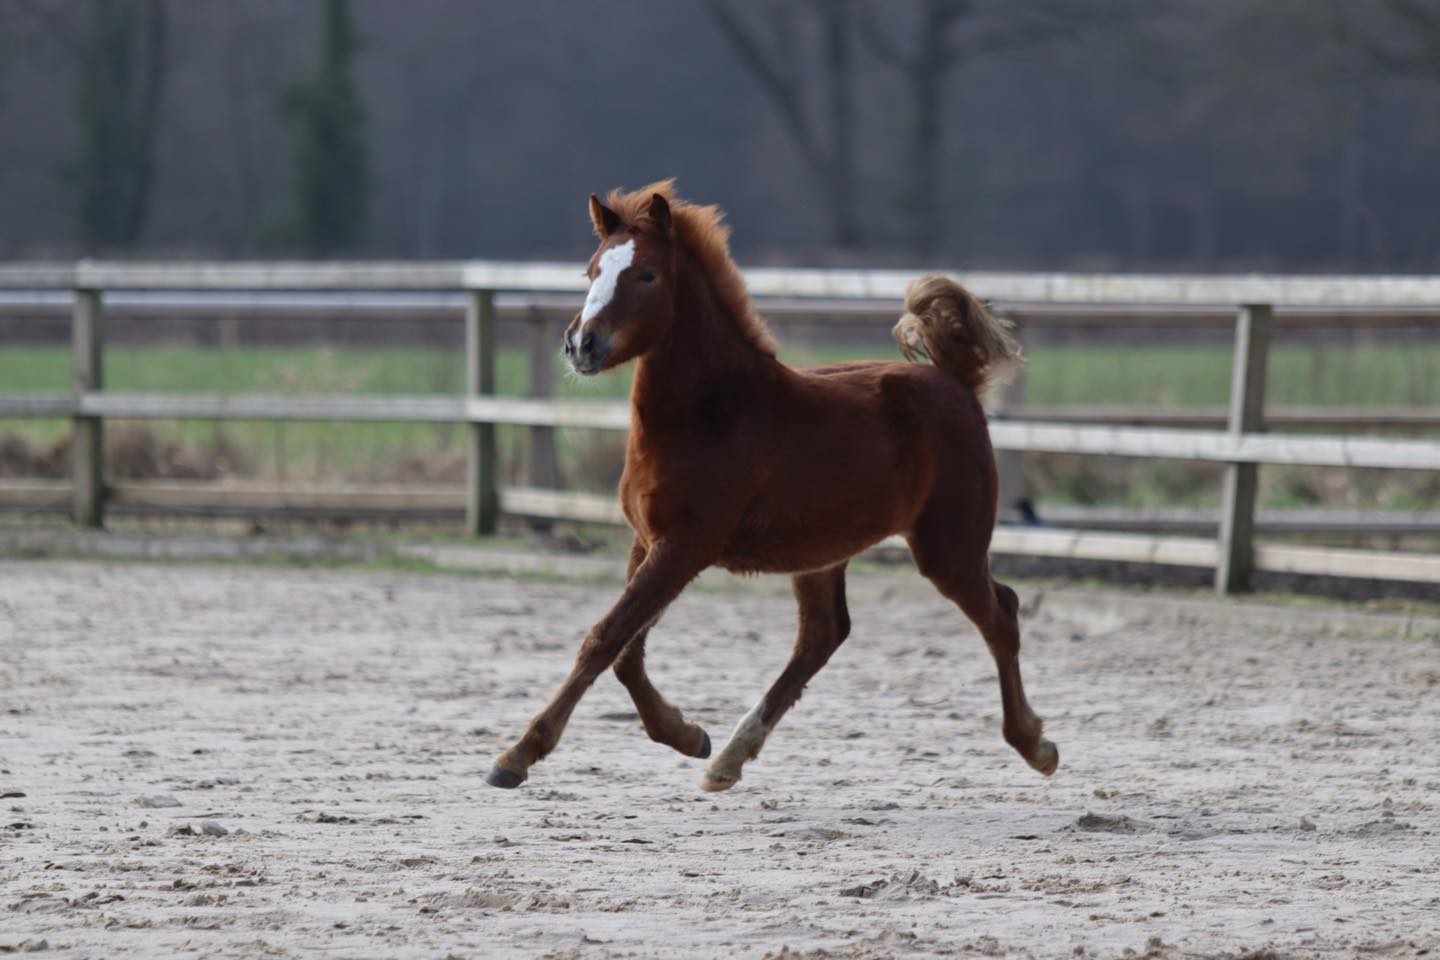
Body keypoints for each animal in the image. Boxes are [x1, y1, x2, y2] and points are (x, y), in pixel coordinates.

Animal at [485, 180, 1058, 793]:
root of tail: (957, 382)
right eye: (592, 271)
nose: (581, 345)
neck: (710, 411)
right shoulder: (647, 540)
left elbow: (606, 637)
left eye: (647, 275)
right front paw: (687, 735)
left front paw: (516, 755)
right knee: (822, 636)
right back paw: (729, 756)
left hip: (949, 547)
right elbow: (625, 652)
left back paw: (1035, 745)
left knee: (1001, 612)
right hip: (823, 553)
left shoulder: (685, 546)